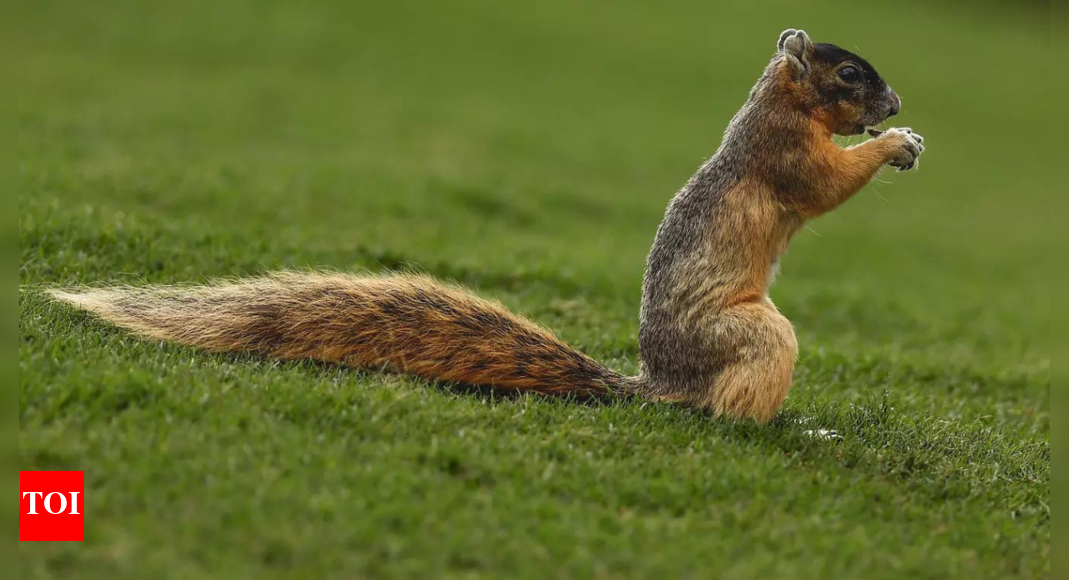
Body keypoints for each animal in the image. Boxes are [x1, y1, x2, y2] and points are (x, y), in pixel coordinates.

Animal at [50, 29, 924, 424]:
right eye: (848, 73)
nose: (894, 103)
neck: (778, 101)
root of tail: (661, 383)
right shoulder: (785, 155)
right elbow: (824, 182)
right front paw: (892, 147)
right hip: (748, 336)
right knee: (723, 405)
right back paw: (788, 428)